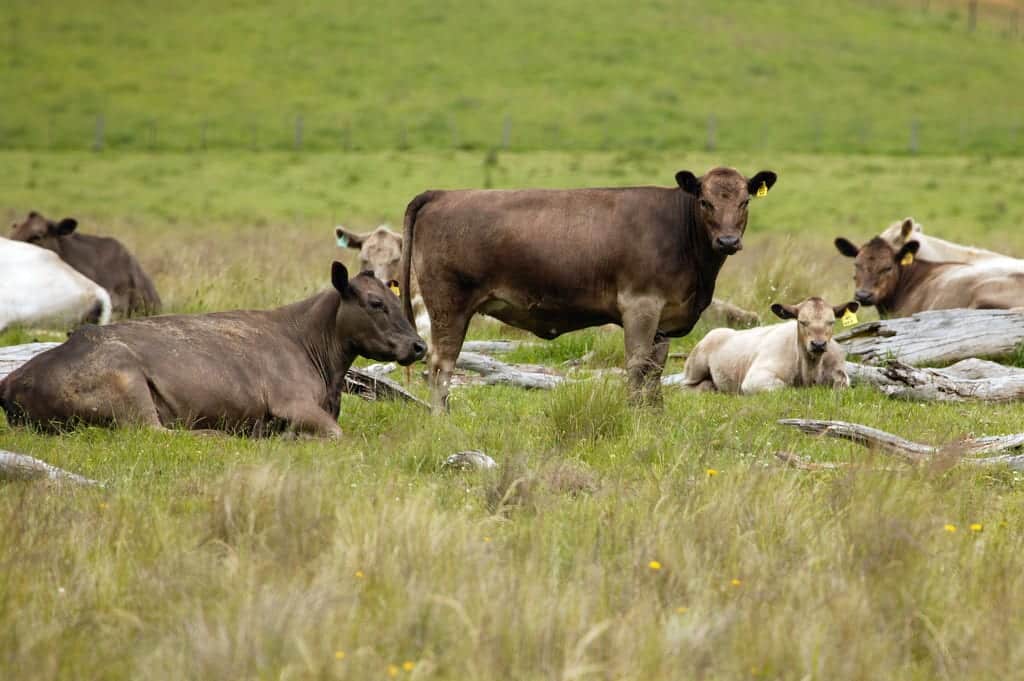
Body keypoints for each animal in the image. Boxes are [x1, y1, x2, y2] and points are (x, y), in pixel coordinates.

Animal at [0, 262, 426, 437]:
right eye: (375, 303)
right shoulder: (291, 401)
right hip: (126, 382)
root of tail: (12, 382)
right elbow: (339, 434)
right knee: (155, 432)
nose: (419, 345)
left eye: (394, 298)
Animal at [400, 166, 778, 411]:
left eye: (744, 202)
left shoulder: (665, 316)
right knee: (440, 365)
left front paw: (654, 413)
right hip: (448, 305)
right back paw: (441, 419)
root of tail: (442, 194)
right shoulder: (640, 305)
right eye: (705, 202)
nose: (727, 241)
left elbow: (655, 368)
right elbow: (637, 365)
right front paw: (634, 413)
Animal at [676, 297, 856, 394]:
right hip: (695, 366)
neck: (810, 373)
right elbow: (784, 387)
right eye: (802, 321)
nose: (818, 344)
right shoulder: (754, 378)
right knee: (686, 387)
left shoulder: (841, 375)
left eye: (831, 322)